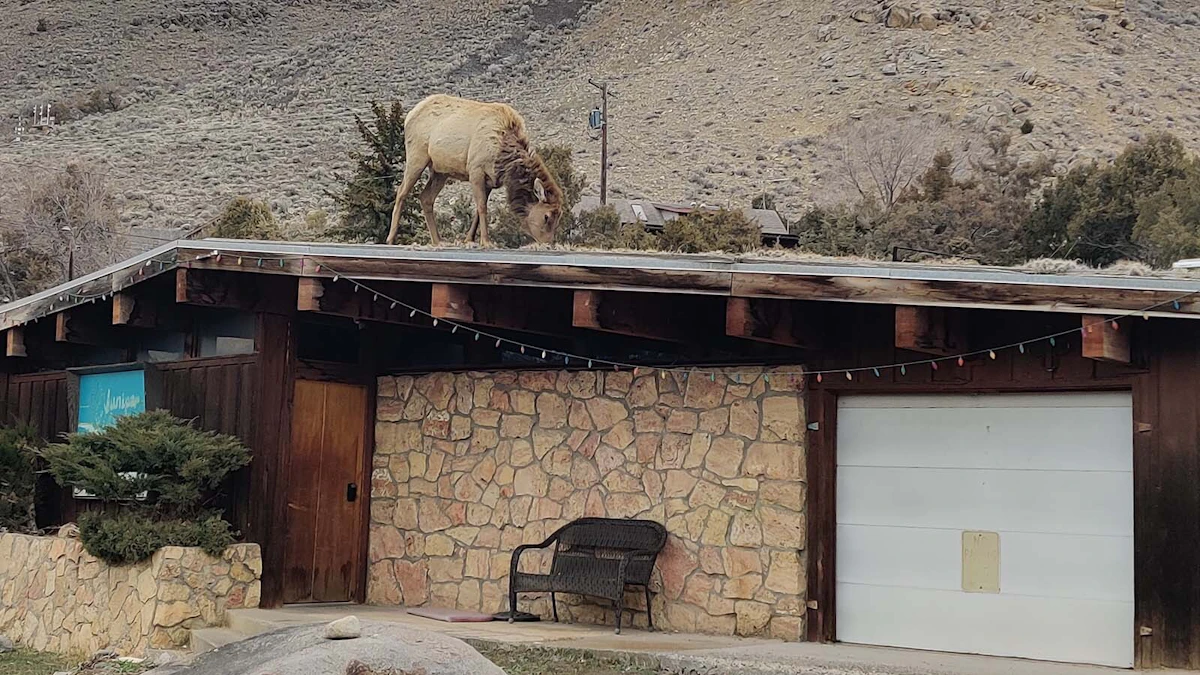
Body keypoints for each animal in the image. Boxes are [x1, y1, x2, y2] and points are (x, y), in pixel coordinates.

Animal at [385, 94, 564, 248]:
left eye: (559, 217)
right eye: (546, 216)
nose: (548, 243)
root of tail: (409, 115)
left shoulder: (491, 180)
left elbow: (479, 211)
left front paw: (468, 239)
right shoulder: (476, 169)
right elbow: (482, 208)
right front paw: (486, 241)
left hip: (440, 171)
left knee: (426, 198)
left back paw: (438, 241)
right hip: (416, 157)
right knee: (401, 192)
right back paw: (390, 238)